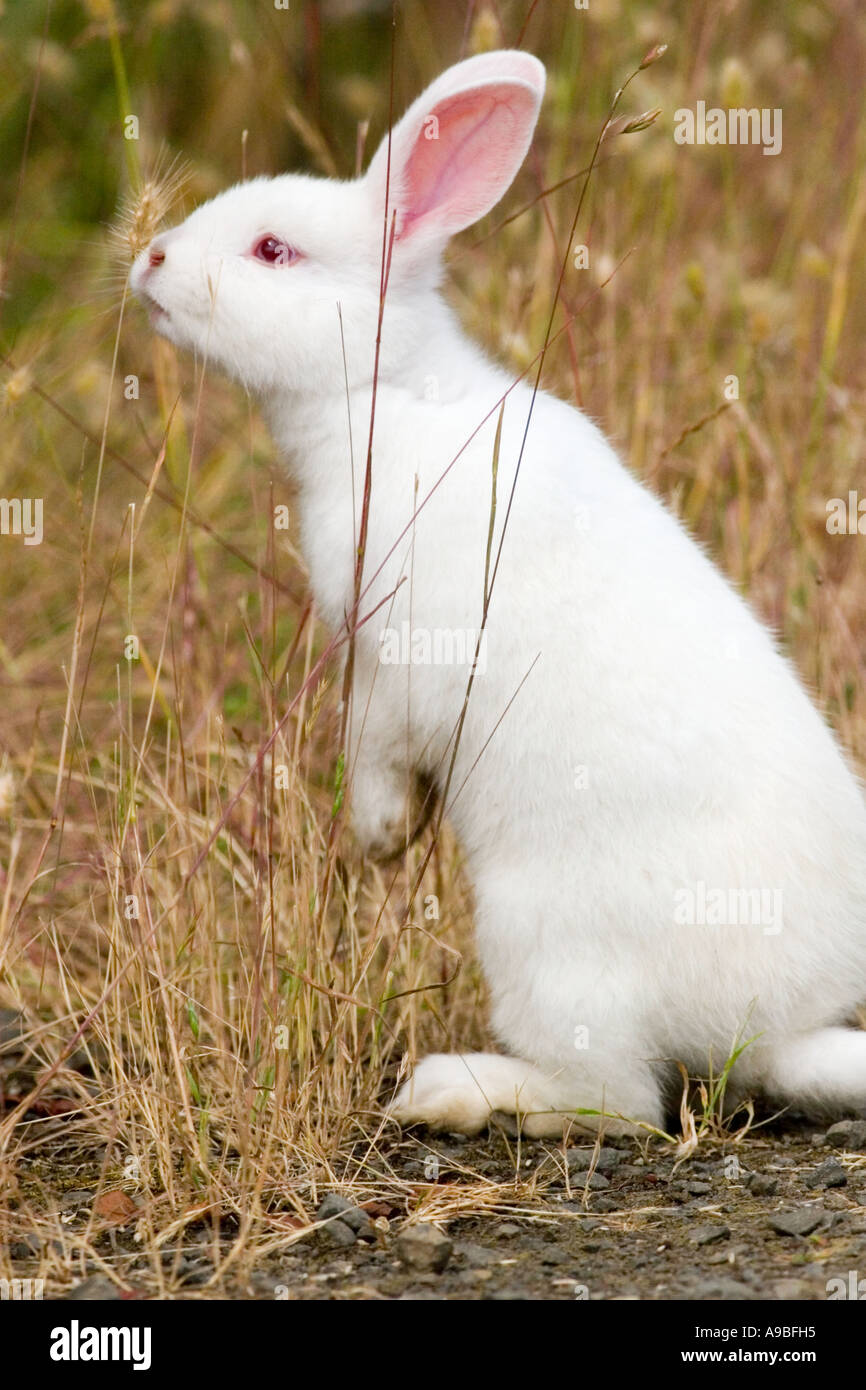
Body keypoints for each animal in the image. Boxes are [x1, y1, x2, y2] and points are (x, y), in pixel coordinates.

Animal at [131, 49, 866, 1137]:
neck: (382, 392)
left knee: (619, 1101)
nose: (150, 260)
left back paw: (448, 1090)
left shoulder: (393, 659)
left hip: (538, 945)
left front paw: (380, 838)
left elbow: (374, 744)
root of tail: (780, 1024)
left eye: (273, 250)